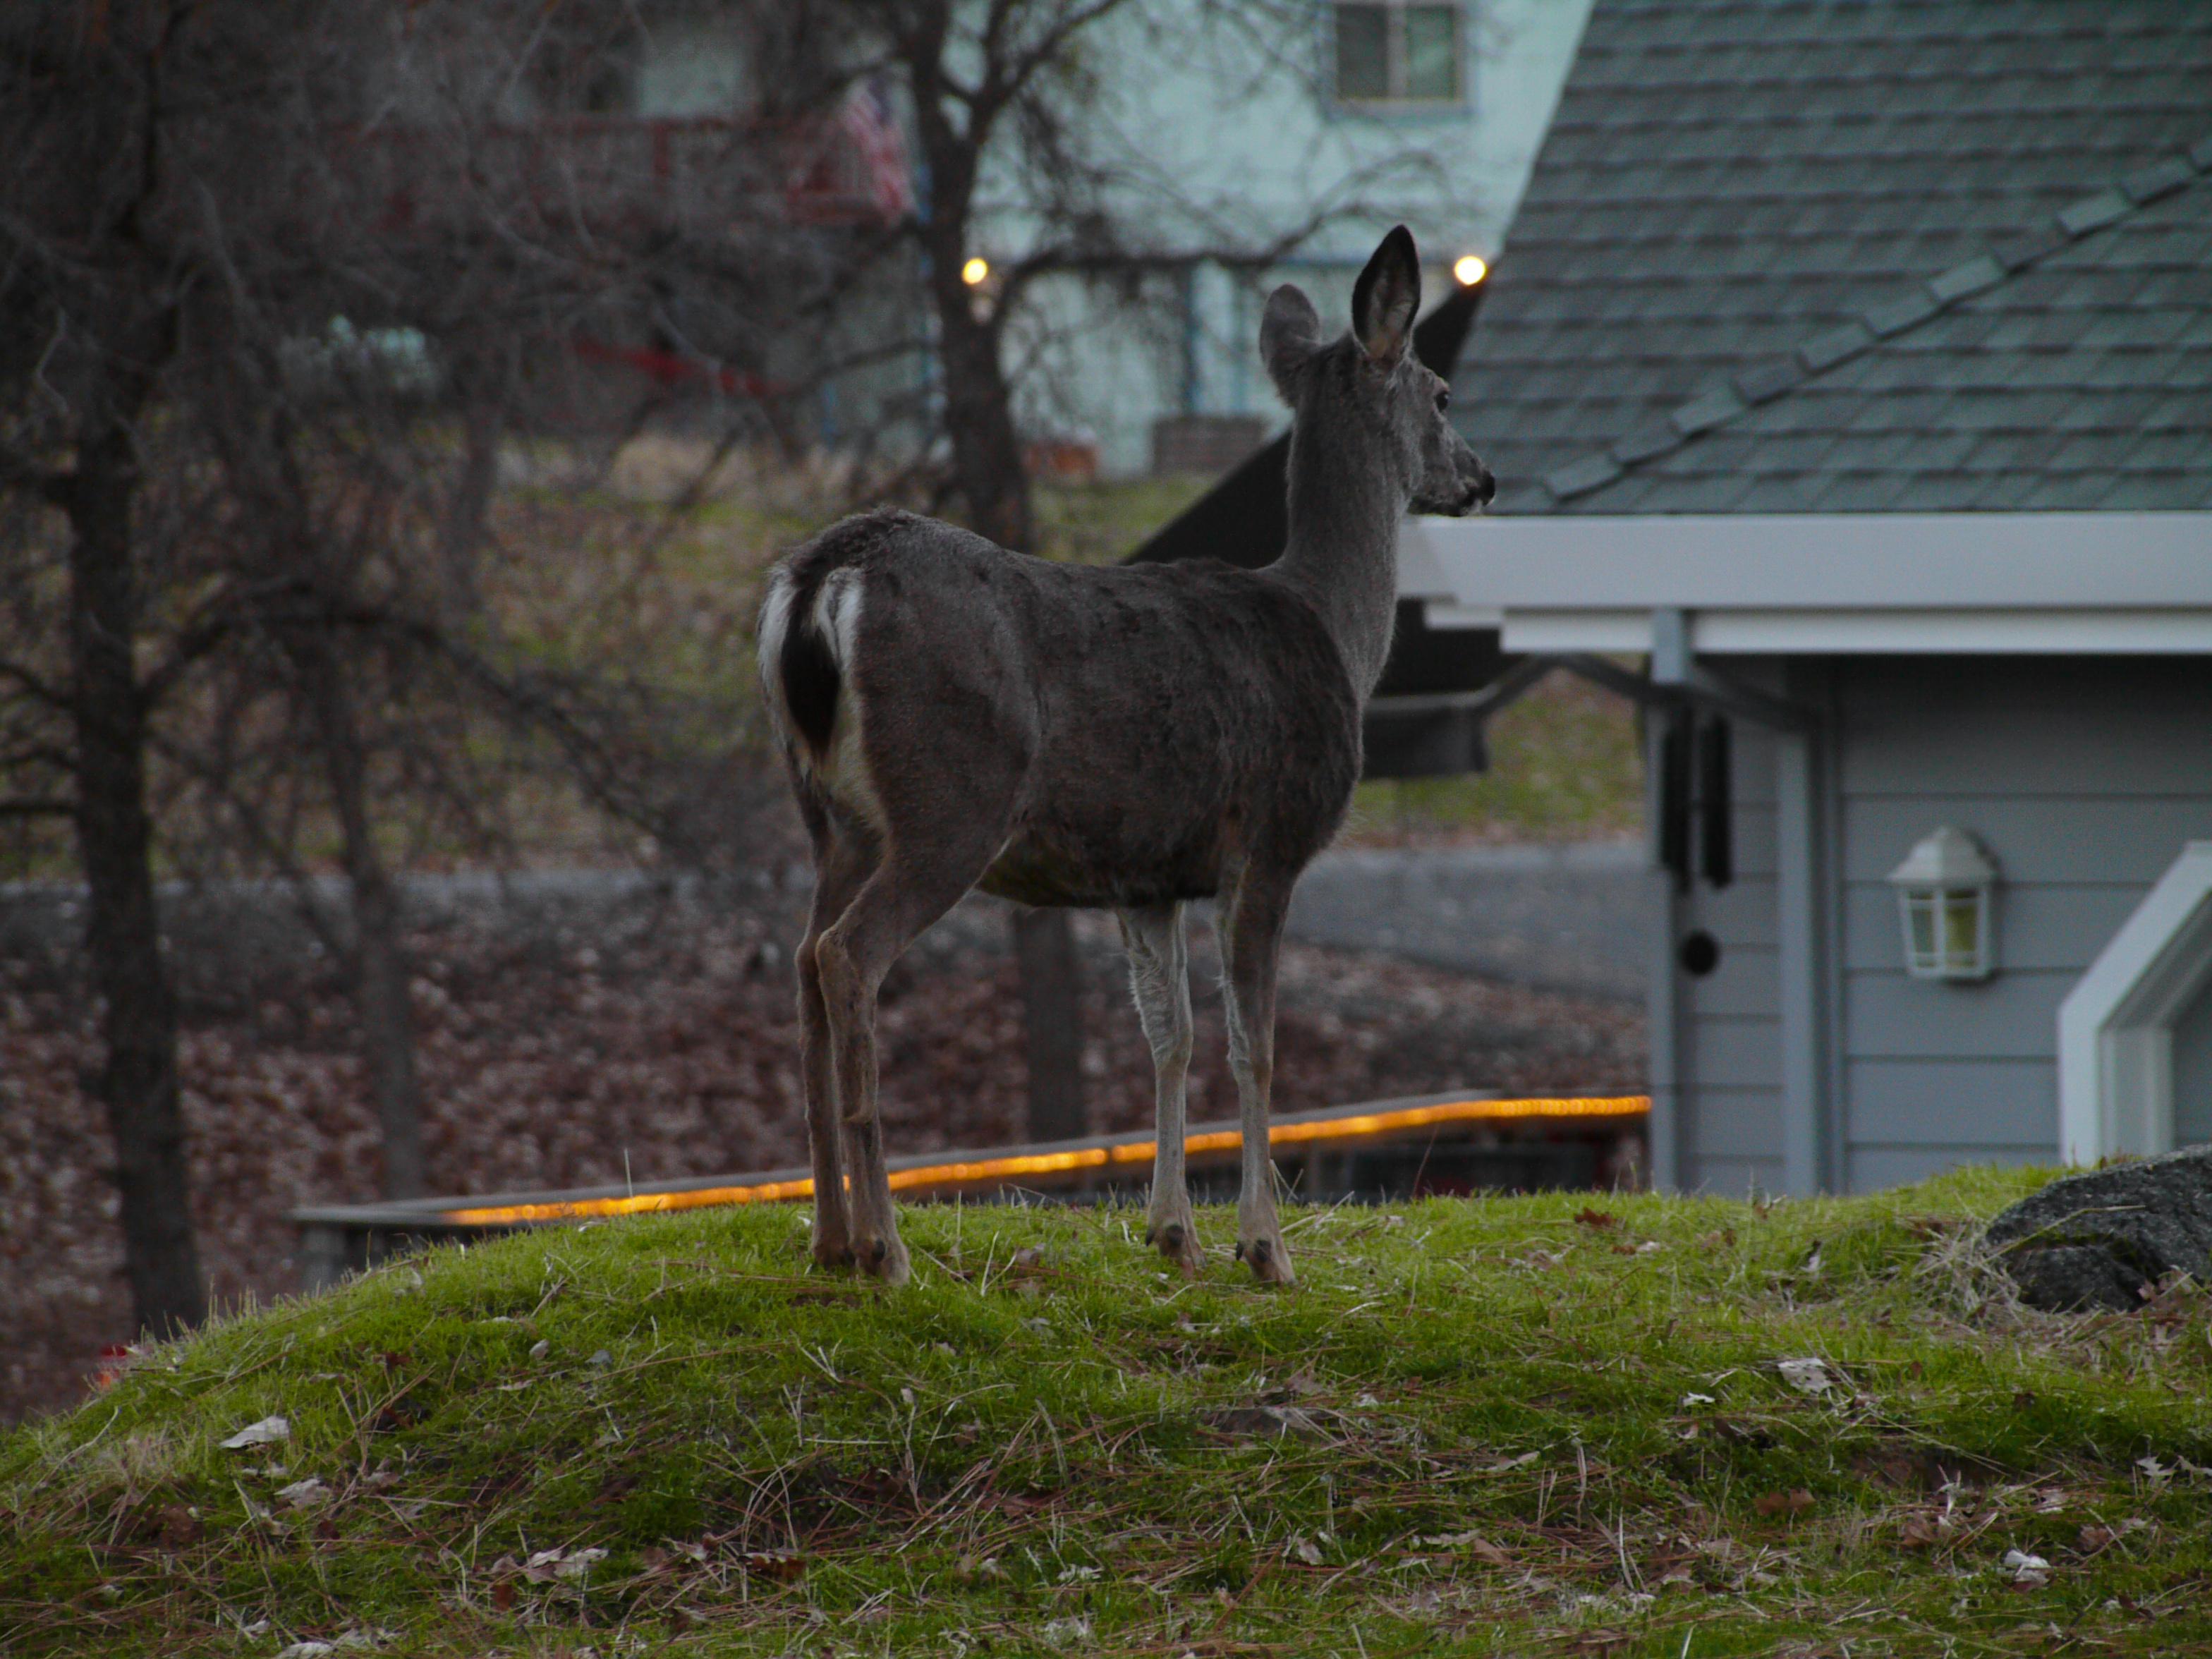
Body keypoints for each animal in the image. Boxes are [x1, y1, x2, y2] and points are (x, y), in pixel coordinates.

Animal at [756, 226, 1492, 1285]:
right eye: (1440, 393)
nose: (1482, 479)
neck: (1336, 630)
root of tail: (826, 578)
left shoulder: (1146, 874)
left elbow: (1168, 1037)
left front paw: (1173, 1231)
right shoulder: (1269, 842)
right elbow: (1253, 1044)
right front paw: (1265, 1248)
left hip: (832, 816)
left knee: (804, 961)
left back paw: (827, 1241)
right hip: (952, 797)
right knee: (847, 954)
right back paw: (885, 1249)